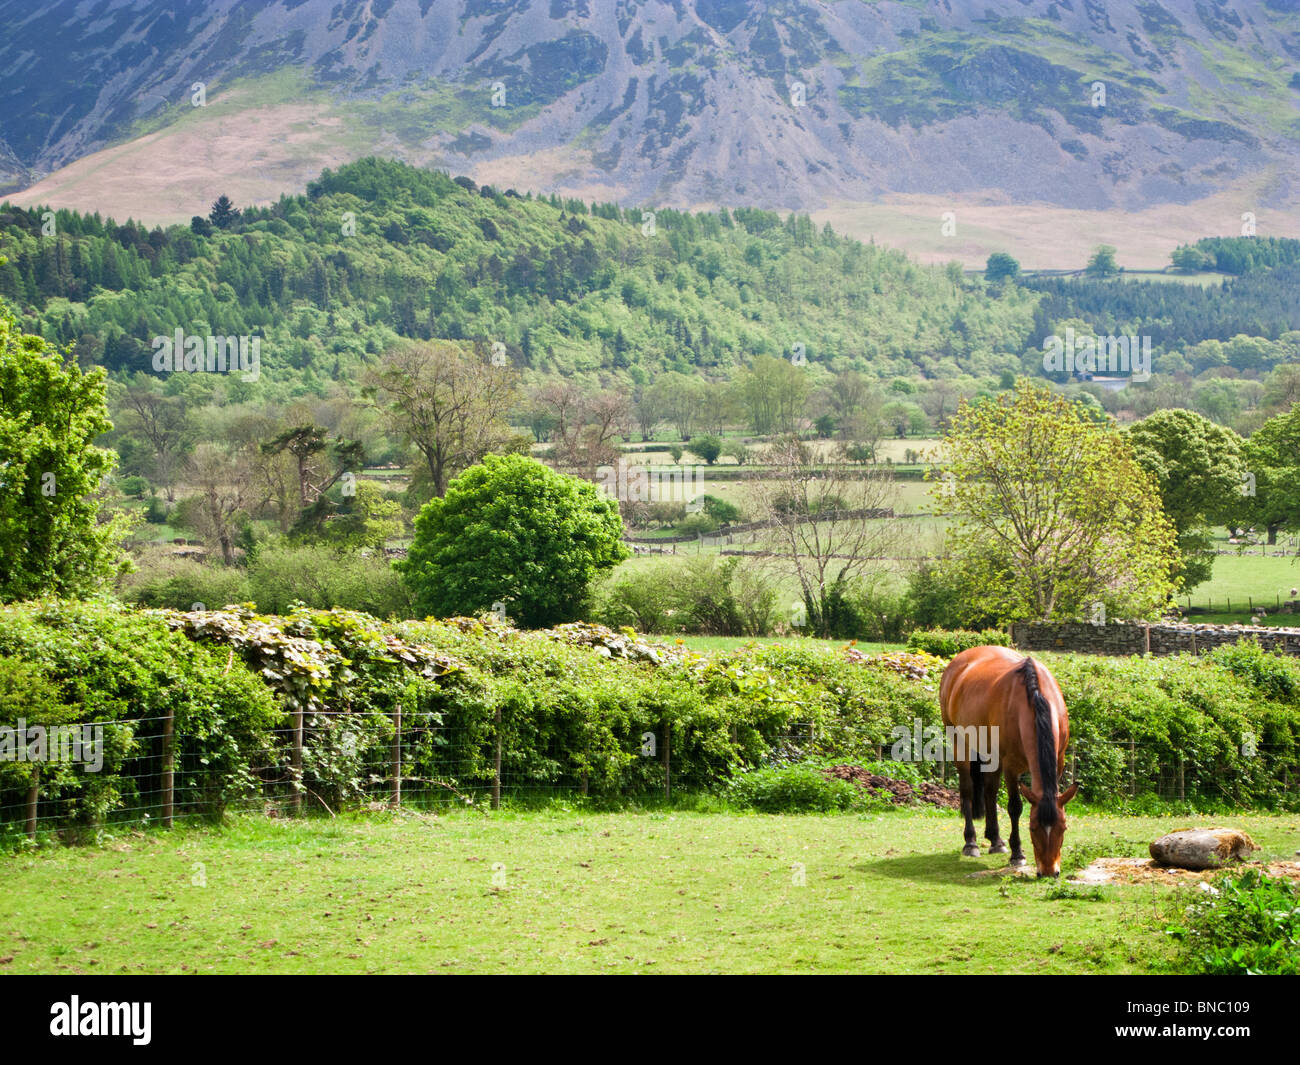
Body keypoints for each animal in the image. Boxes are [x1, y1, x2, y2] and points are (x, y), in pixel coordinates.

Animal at [935, 644, 1076, 879]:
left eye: (1063, 828)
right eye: (1033, 828)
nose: (1048, 872)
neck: (1036, 699)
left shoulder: (1058, 763)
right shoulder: (1011, 767)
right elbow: (1015, 807)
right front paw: (1017, 853)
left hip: (991, 755)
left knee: (990, 792)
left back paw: (996, 840)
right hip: (959, 744)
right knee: (967, 790)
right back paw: (971, 843)